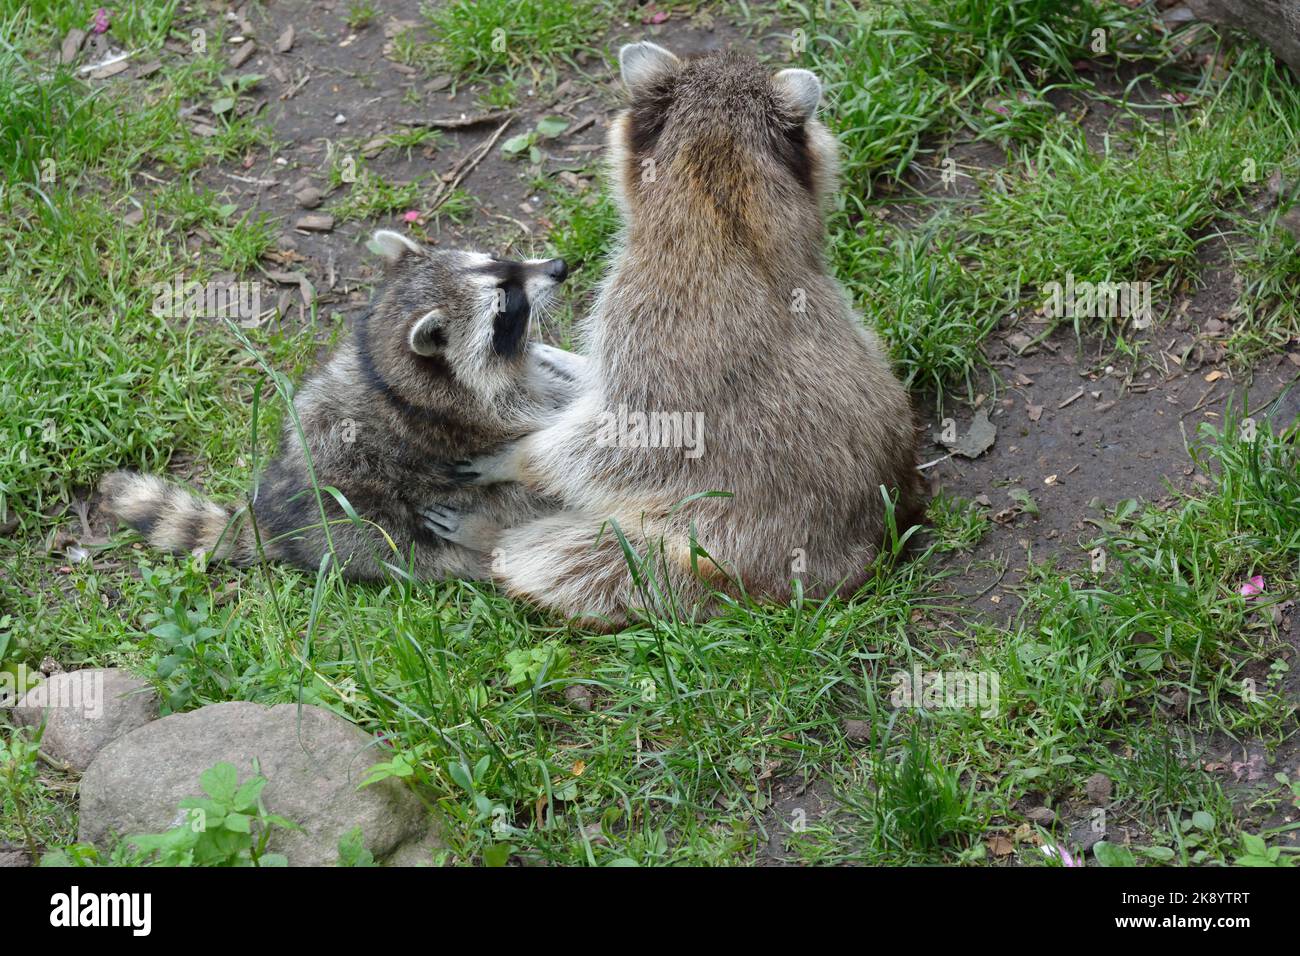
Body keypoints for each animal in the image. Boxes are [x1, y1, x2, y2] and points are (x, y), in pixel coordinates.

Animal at [99, 231, 584, 581]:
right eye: (506, 300)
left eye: (497, 259)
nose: (560, 267)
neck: (394, 380)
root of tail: (278, 521)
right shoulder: (486, 417)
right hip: (374, 529)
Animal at [441, 42, 923, 627]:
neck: (721, 209)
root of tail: (854, 567)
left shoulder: (644, 319)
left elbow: (628, 438)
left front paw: (523, 455)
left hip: (697, 564)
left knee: (569, 560)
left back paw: (494, 543)